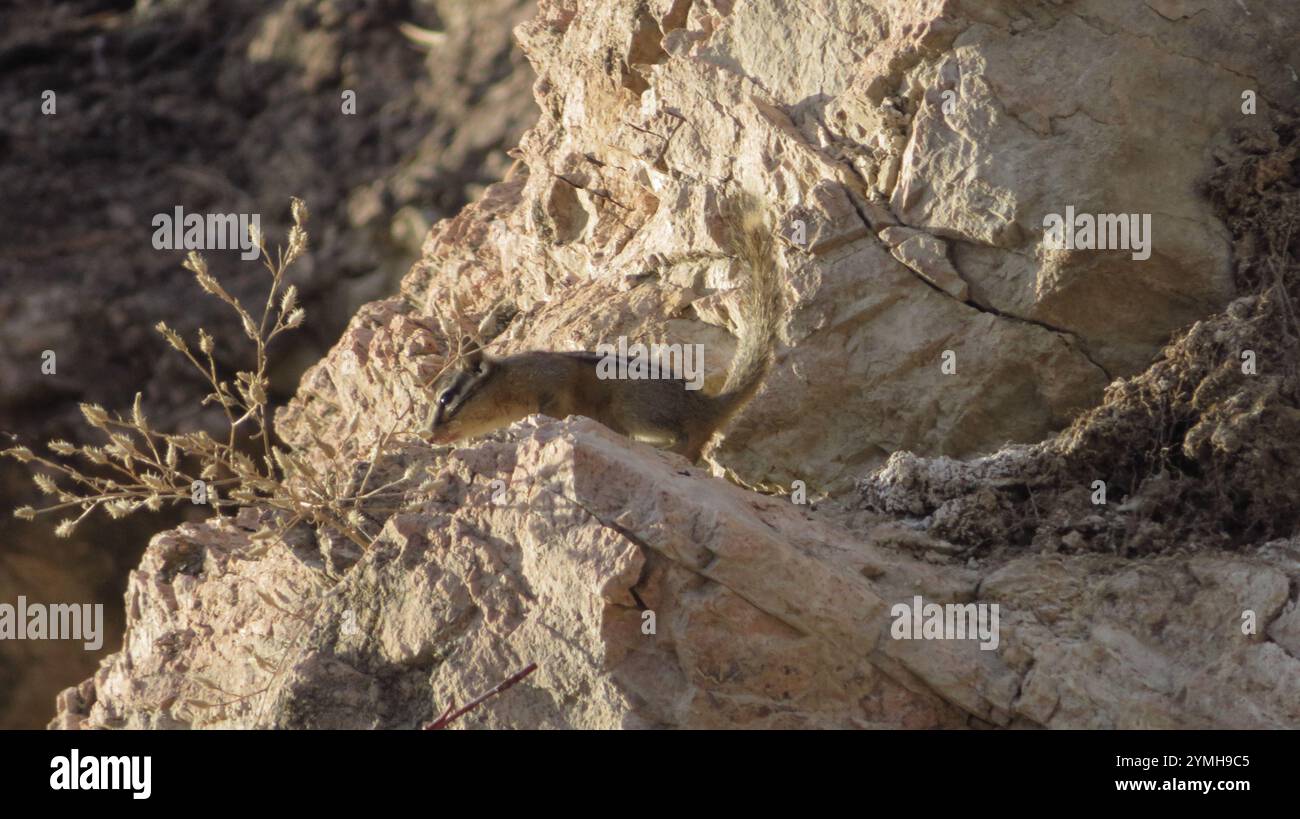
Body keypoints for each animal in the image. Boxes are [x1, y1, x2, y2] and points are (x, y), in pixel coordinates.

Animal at [424, 202, 783, 463]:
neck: (505, 382)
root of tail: (705, 406)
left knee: (686, 438)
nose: (428, 436)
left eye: (445, 398)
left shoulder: (551, 379)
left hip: (632, 406)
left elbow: (554, 401)